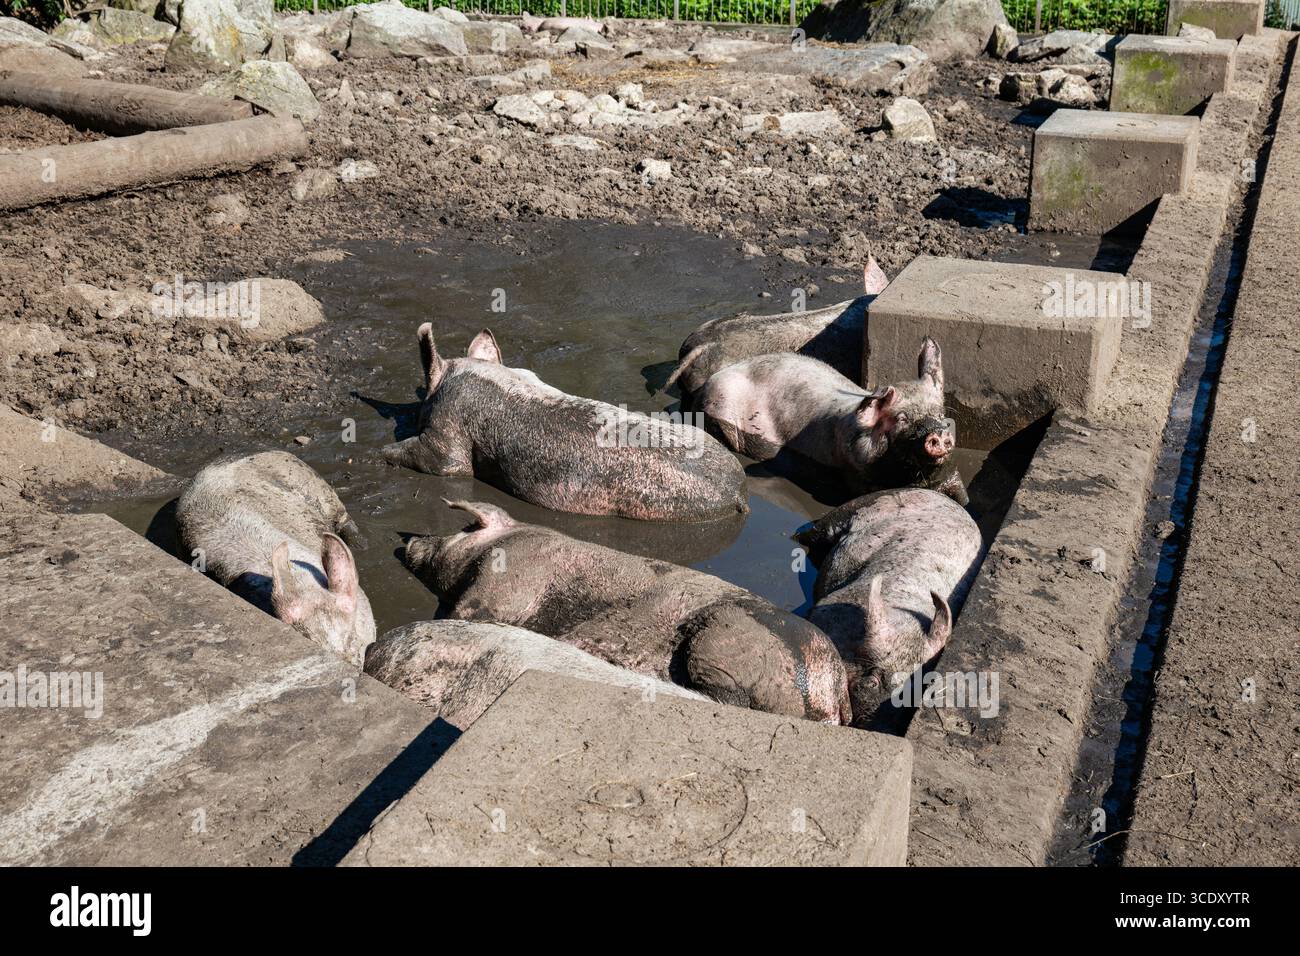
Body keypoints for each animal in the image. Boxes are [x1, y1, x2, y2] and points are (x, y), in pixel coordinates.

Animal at [175, 451, 375, 666]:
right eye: (308, 640)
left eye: (351, 639)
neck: (304, 584)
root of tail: (256, 453)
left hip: (312, 481)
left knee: (341, 515)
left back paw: (361, 544)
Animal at [403, 499, 852, 724]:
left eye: (463, 527)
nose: (406, 543)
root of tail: (836, 683)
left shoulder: (509, 577)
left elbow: (466, 611)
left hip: (725, 642)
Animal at [696, 337, 968, 503]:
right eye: (902, 418)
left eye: (939, 414)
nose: (937, 432)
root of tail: (711, 379)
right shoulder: (856, 476)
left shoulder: (950, 476)